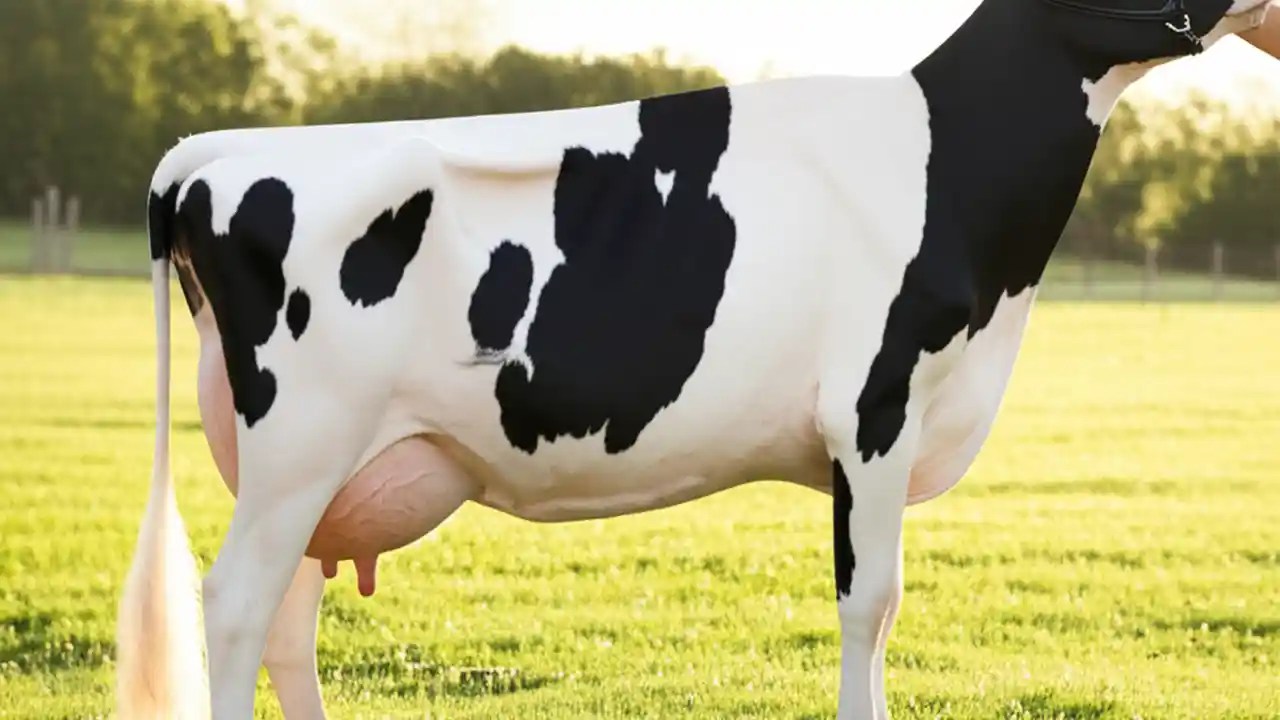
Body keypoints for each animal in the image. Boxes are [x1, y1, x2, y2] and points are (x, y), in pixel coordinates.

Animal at [115, 1, 1278, 718]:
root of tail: (216, 153)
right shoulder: (874, 412)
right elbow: (871, 602)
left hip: (318, 472)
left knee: (285, 622)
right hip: (300, 447)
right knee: (235, 606)